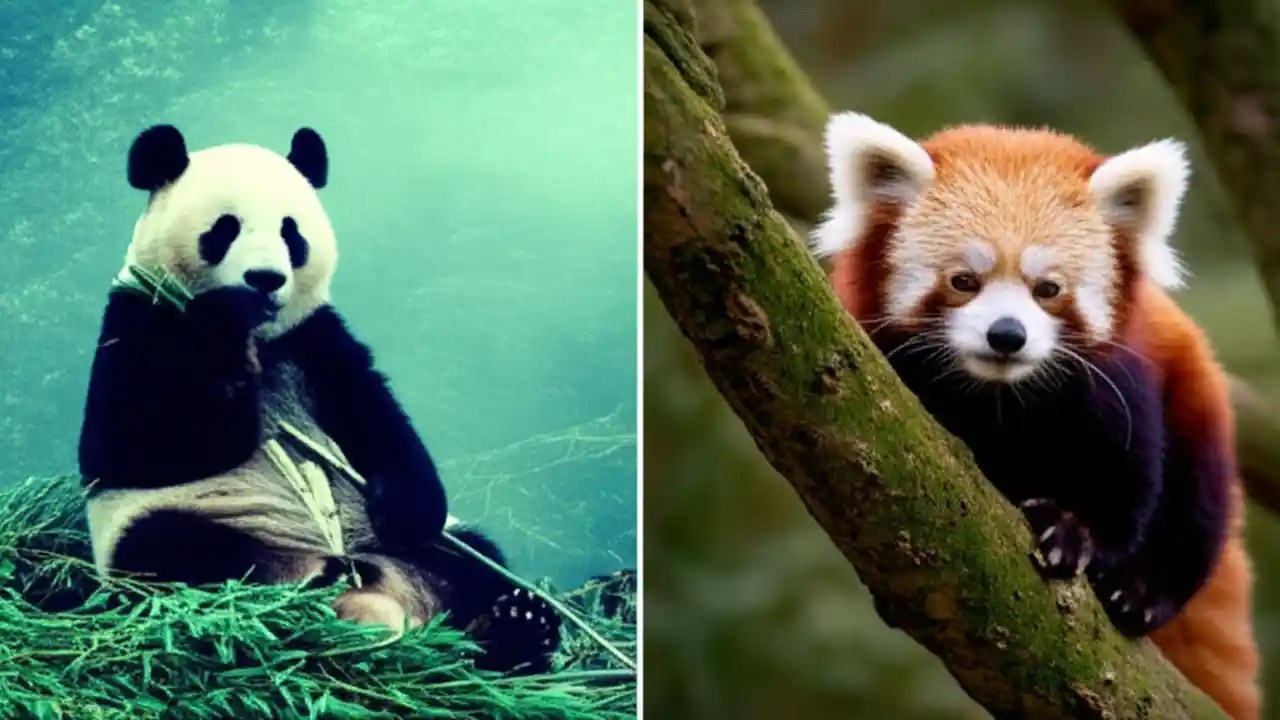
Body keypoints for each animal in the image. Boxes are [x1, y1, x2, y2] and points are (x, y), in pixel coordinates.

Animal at [77, 123, 562, 674]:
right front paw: (225, 332)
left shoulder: (315, 341)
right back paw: (303, 590)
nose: (265, 279)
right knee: (173, 553)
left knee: (474, 563)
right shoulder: (139, 321)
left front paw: (402, 506)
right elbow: (130, 446)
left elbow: (377, 418)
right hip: (176, 532)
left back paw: (516, 629)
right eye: (225, 229)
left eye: (291, 232)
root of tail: (381, 599)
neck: (262, 339)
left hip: (423, 553)